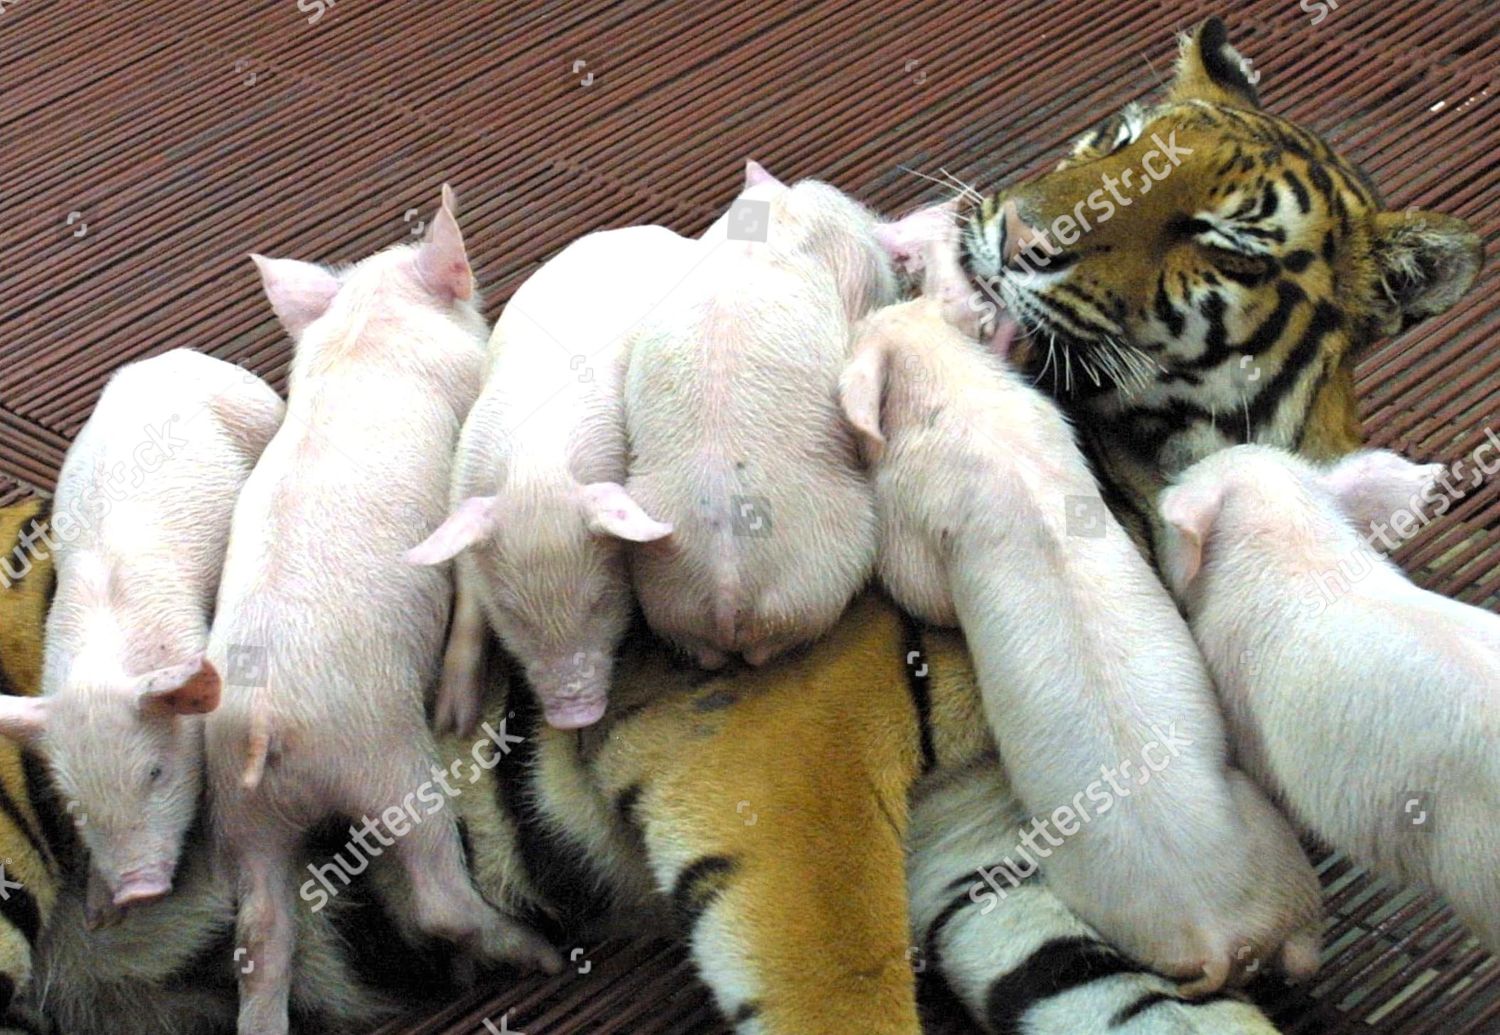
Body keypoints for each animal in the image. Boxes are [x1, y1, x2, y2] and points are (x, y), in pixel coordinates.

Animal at [0, 15, 1483, 1035]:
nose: (1016, 238)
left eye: (1219, 239)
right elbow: (841, 992)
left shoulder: (998, 844)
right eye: (1115, 145)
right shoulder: (793, 780)